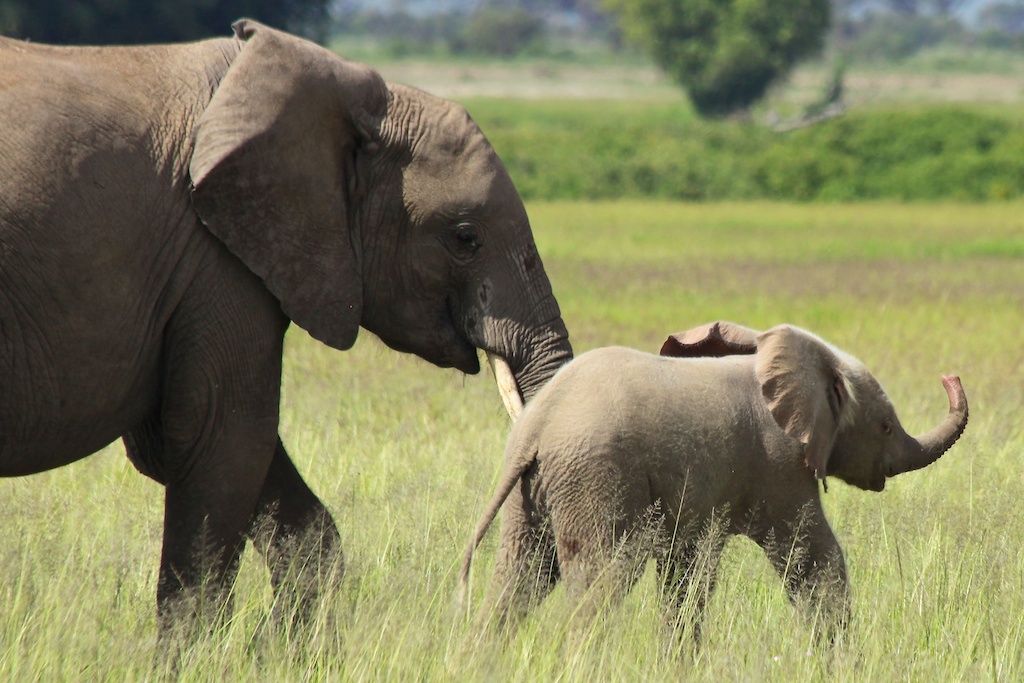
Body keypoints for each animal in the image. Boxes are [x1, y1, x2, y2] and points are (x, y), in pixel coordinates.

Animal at [460, 322, 967, 642]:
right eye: (885, 427)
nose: (949, 375)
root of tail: (538, 424)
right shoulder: (779, 464)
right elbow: (811, 556)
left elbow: (685, 572)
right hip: (595, 475)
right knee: (601, 581)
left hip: (538, 488)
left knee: (519, 578)